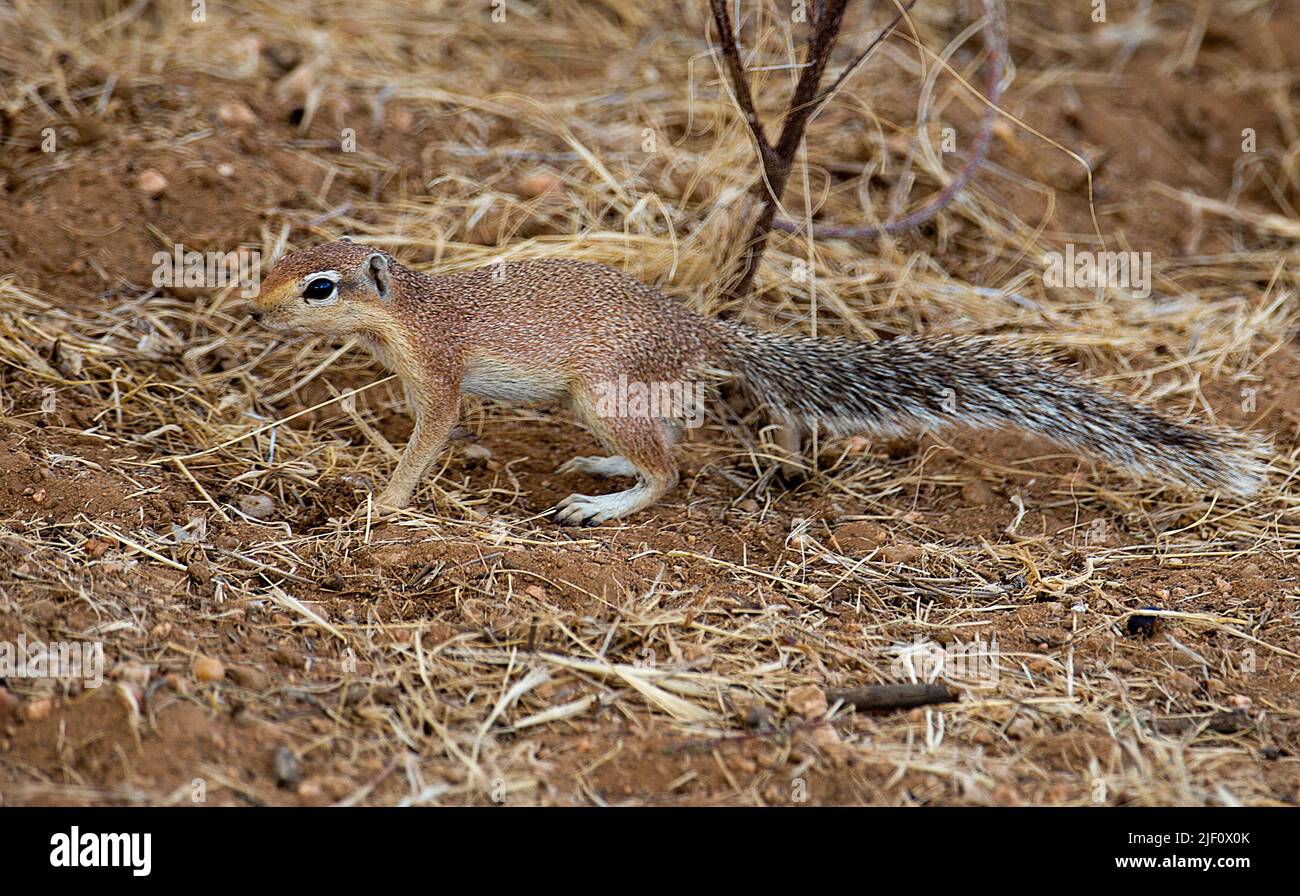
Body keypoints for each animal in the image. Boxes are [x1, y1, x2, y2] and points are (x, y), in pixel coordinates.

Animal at [251, 239, 1269, 524]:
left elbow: (430, 437)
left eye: (318, 286)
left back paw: (604, 504)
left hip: (607, 394)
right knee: (670, 448)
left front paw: (382, 502)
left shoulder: (441, 375)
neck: (409, 311)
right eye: (278, 259)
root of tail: (702, 330)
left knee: (676, 471)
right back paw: (601, 474)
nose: (254, 312)